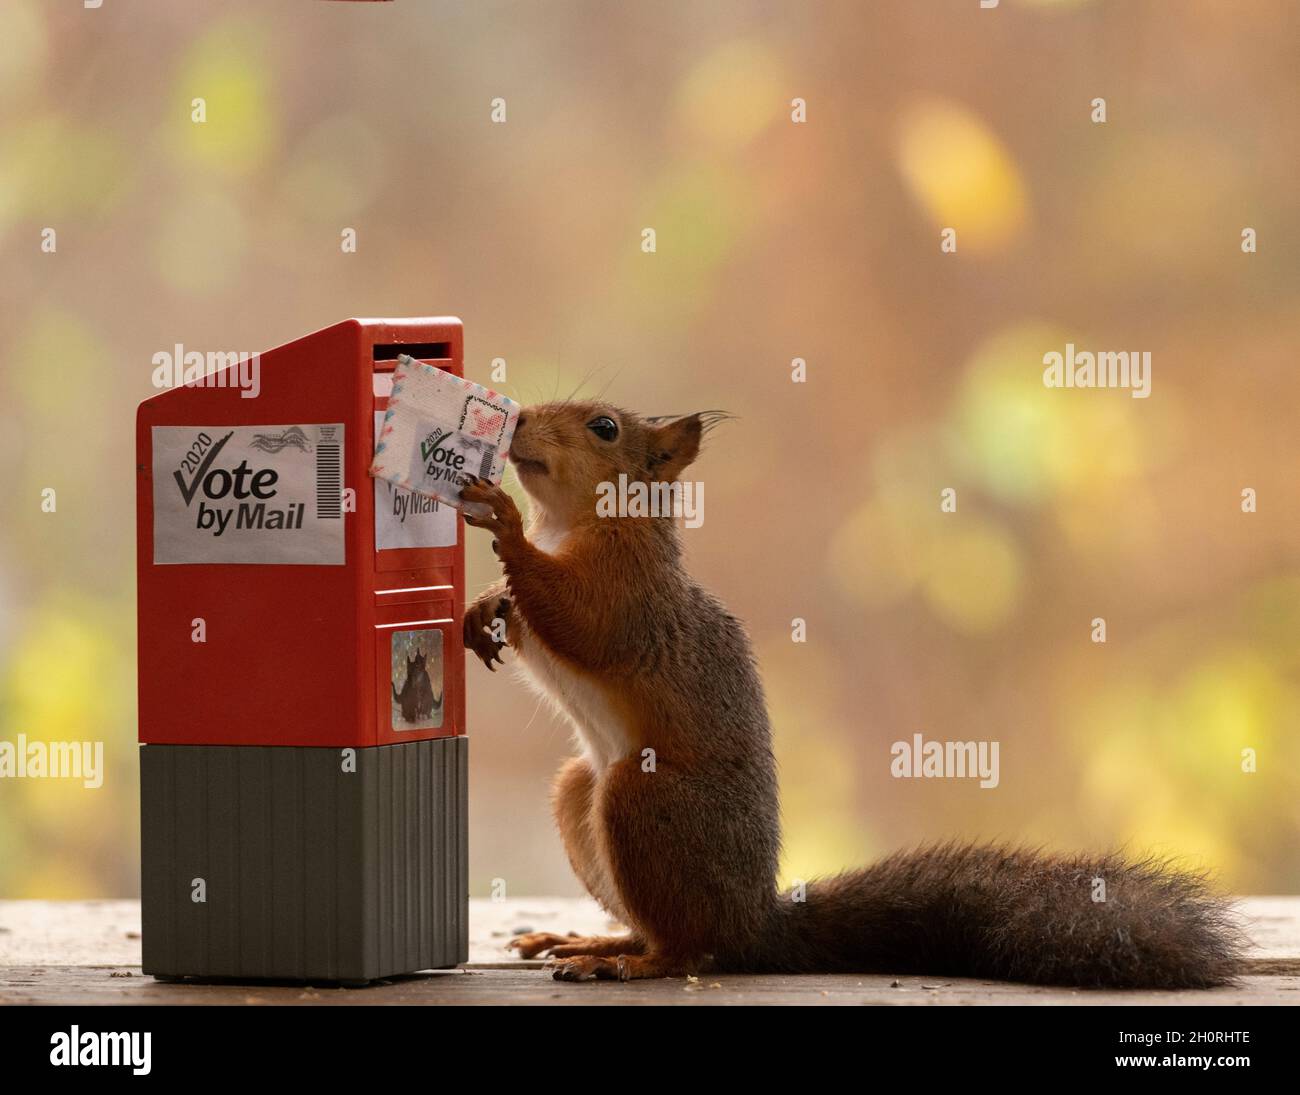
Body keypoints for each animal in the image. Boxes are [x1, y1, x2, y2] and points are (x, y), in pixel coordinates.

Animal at [458, 403, 1243, 987]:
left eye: (604, 428)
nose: (518, 416)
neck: (581, 523)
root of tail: (753, 920)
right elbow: (532, 622)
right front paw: (485, 606)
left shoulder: (631, 598)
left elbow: (581, 622)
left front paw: (505, 521)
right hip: (579, 791)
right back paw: (590, 940)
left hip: (645, 798)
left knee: (692, 948)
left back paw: (628, 961)